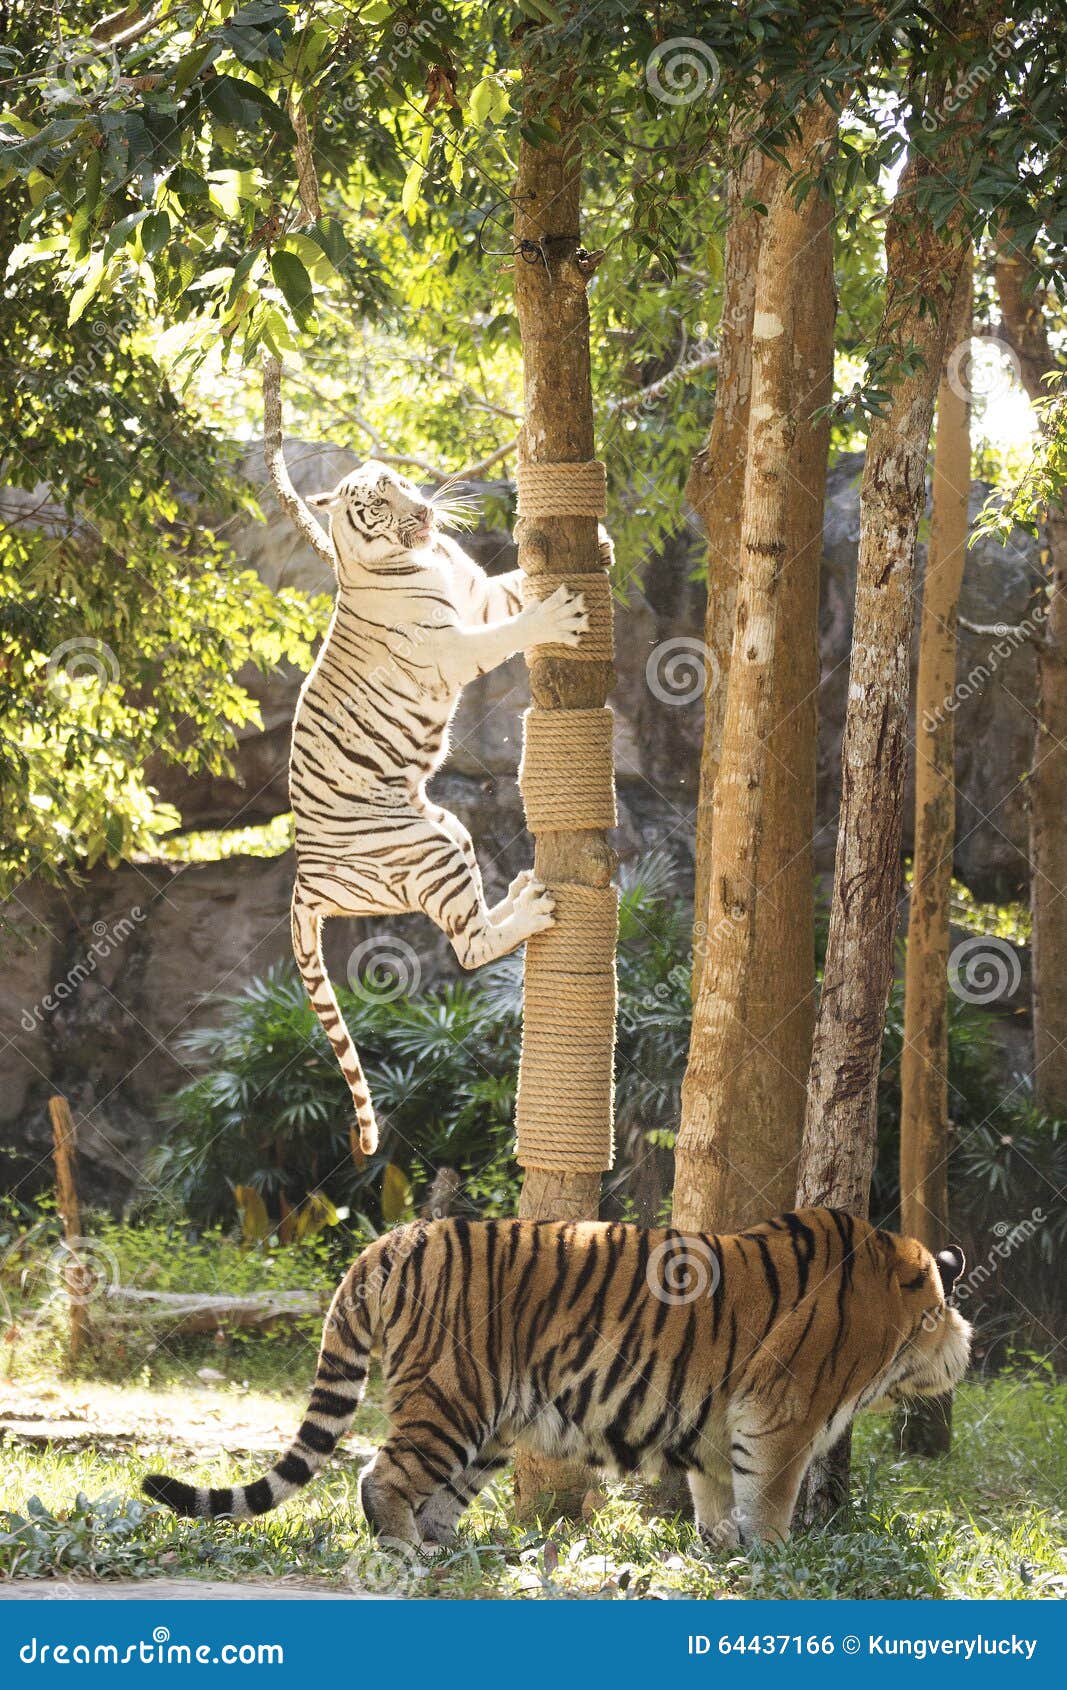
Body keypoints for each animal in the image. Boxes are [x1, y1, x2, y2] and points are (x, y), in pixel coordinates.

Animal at [143, 1208, 971, 1548]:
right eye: (949, 1310)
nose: (965, 1352)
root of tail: (391, 1239)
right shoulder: (781, 1414)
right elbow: (767, 1496)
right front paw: (770, 1557)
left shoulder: (721, 1426)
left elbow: (716, 1492)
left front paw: (720, 1549)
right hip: (450, 1398)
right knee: (381, 1477)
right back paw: (404, 1553)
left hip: (489, 1423)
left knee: (438, 1496)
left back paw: (453, 1551)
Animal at [289, 459, 589, 1157]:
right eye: (375, 507)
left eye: (397, 481)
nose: (422, 512)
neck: (422, 554)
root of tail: (303, 875)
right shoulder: (453, 645)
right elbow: (512, 627)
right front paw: (556, 616)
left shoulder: (476, 593)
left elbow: (511, 589)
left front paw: (603, 547)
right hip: (427, 851)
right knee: (469, 948)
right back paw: (534, 910)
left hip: (448, 829)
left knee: (472, 916)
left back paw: (524, 890)